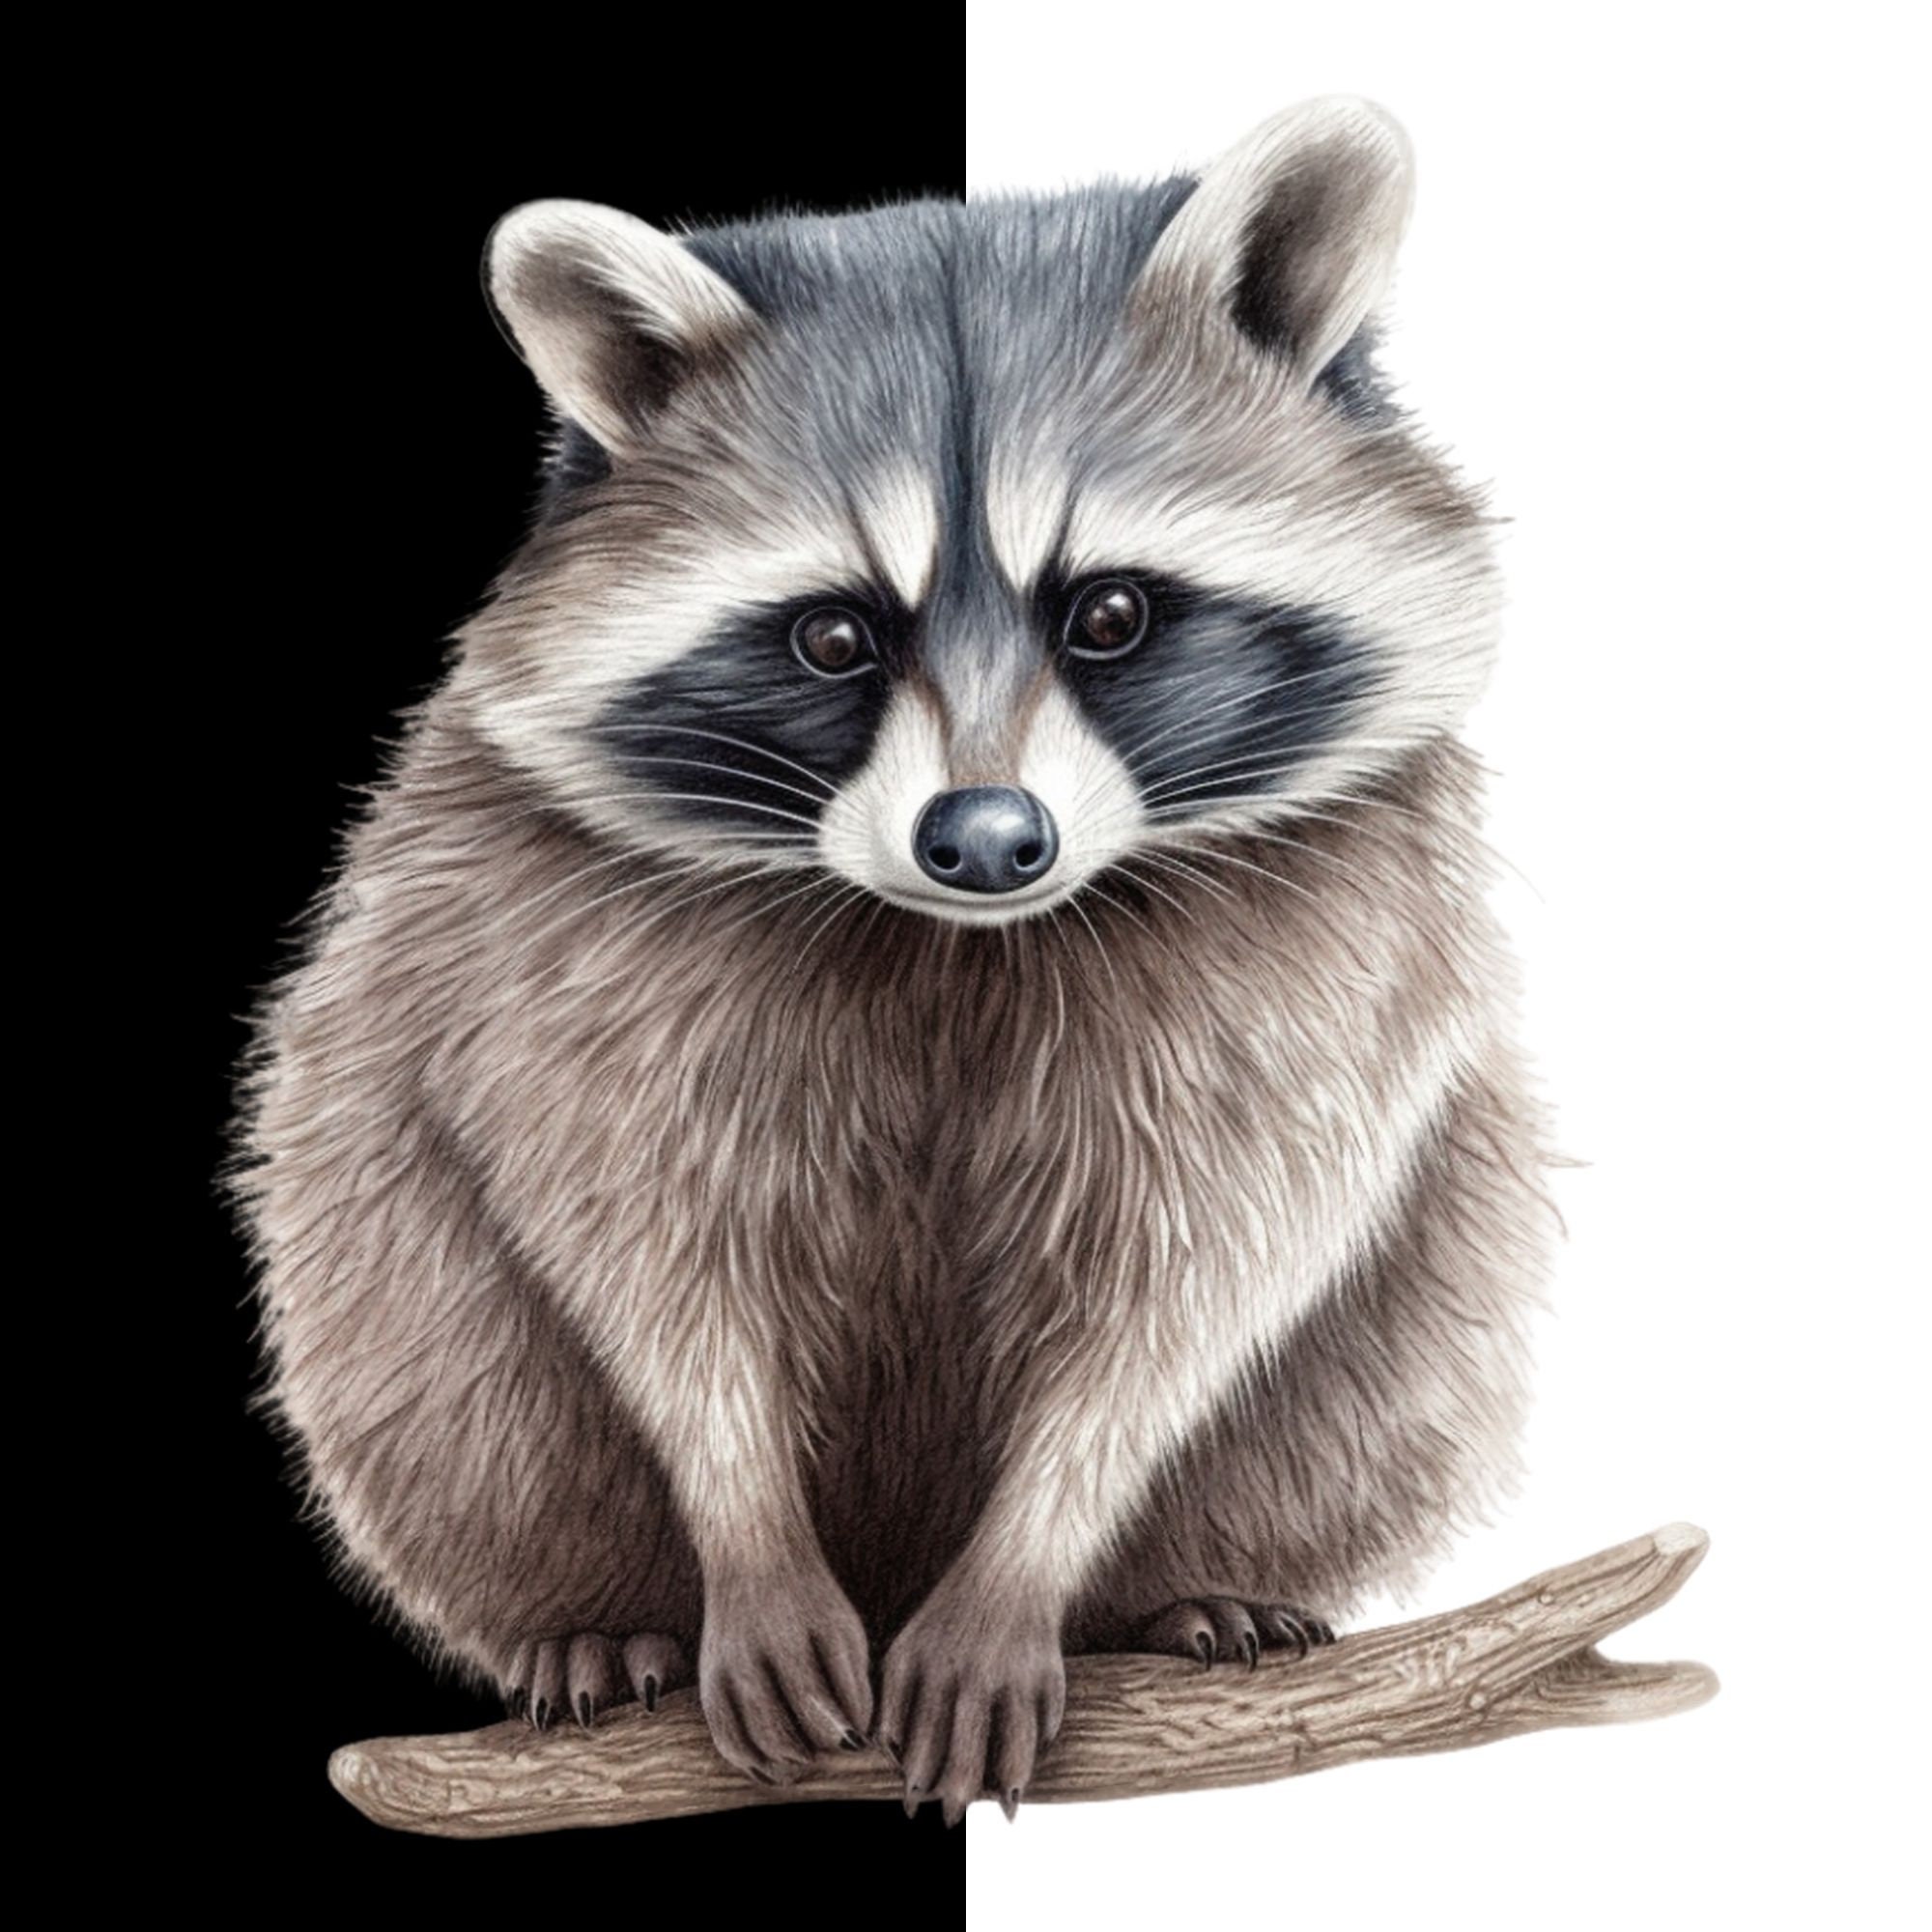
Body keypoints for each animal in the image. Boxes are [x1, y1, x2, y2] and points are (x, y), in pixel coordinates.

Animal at [234, 98, 1556, 1825]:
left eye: (1112, 614)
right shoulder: (545, 938)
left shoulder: (1335, 934)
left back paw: (1187, 1589)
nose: (985, 840)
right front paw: (742, 1532)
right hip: (380, 1275)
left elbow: (1206, 1268)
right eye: (834, 638)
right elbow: (639, 1247)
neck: (959, 940)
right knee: (438, 1353)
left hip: (1418, 1310)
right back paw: (595, 1617)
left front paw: (1029, 1560)